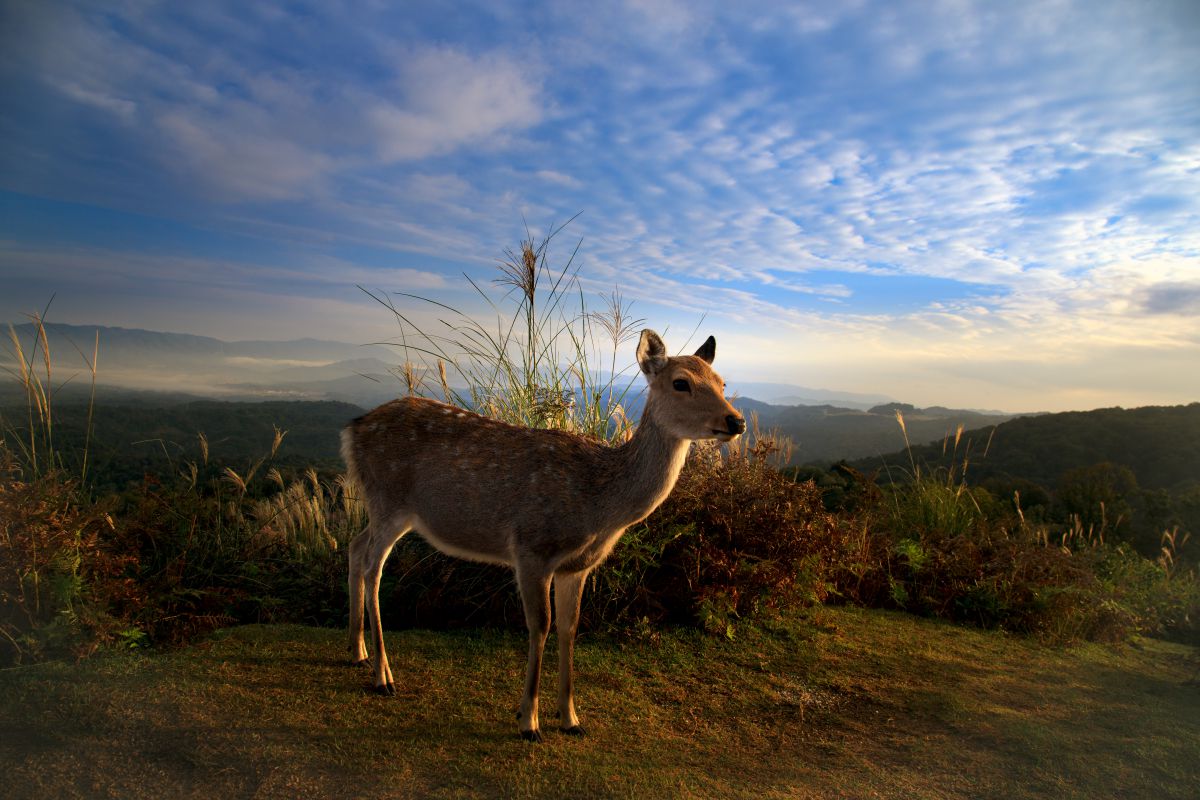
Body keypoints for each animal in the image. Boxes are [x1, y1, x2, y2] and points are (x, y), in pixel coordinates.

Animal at [341, 329, 745, 742]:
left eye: (722, 383)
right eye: (681, 383)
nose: (736, 421)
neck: (599, 504)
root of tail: (352, 429)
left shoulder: (577, 567)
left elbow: (569, 627)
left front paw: (571, 718)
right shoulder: (531, 548)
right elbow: (541, 626)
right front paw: (528, 722)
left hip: (389, 509)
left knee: (355, 548)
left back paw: (358, 653)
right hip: (389, 500)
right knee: (373, 568)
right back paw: (383, 676)